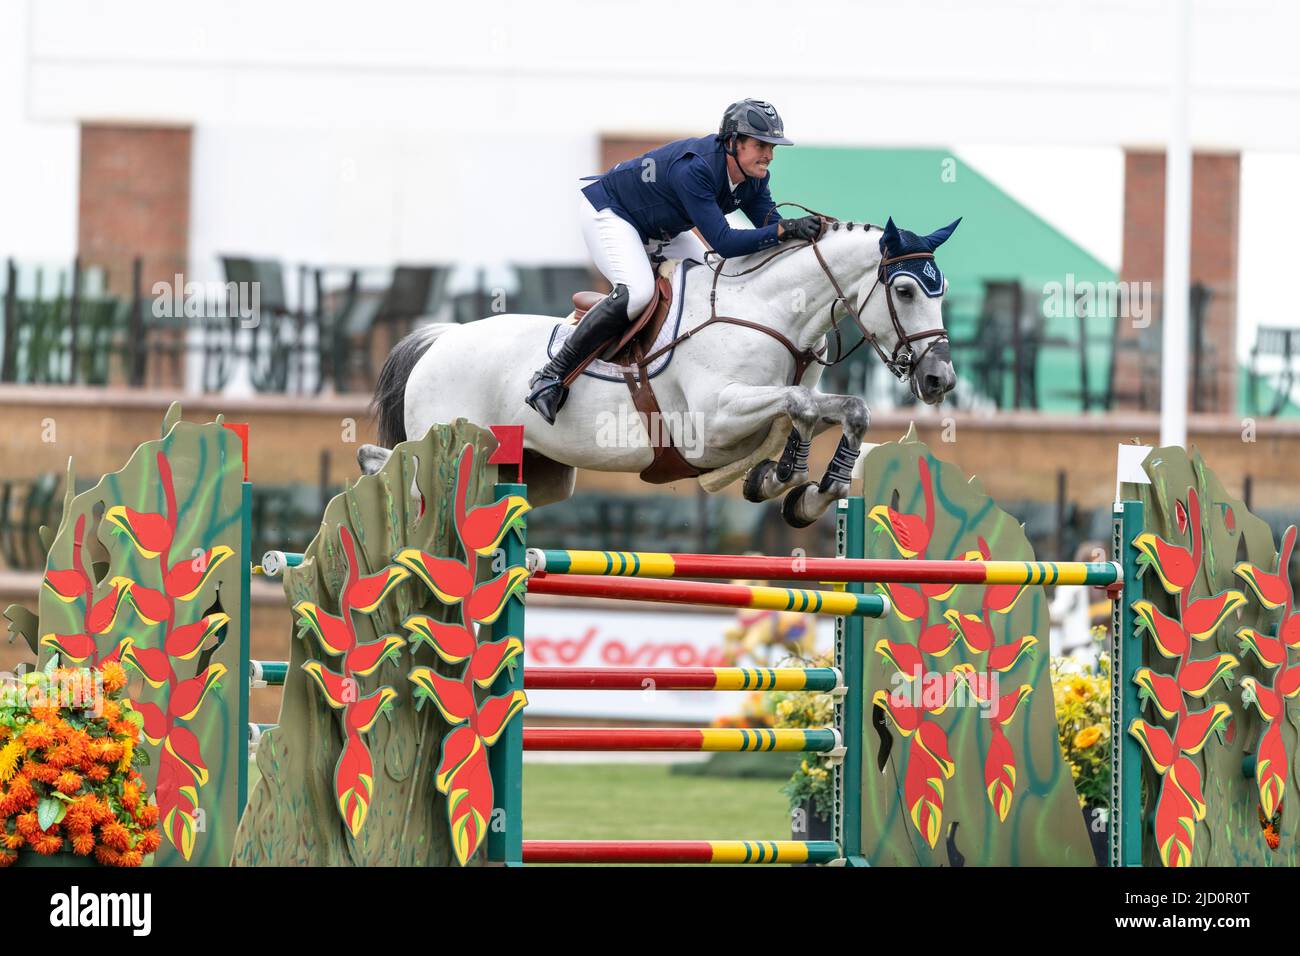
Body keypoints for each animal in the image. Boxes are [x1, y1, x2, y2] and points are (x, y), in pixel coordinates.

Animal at [359, 216, 959, 528]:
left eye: (942, 290)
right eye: (906, 291)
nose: (941, 380)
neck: (769, 311)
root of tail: (440, 339)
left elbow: (840, 410)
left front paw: (802, 489)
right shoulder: (711, 424)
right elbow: (801, 406)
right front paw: (785, 478)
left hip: (534, 472)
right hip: (455, 444)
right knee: (401, 470)